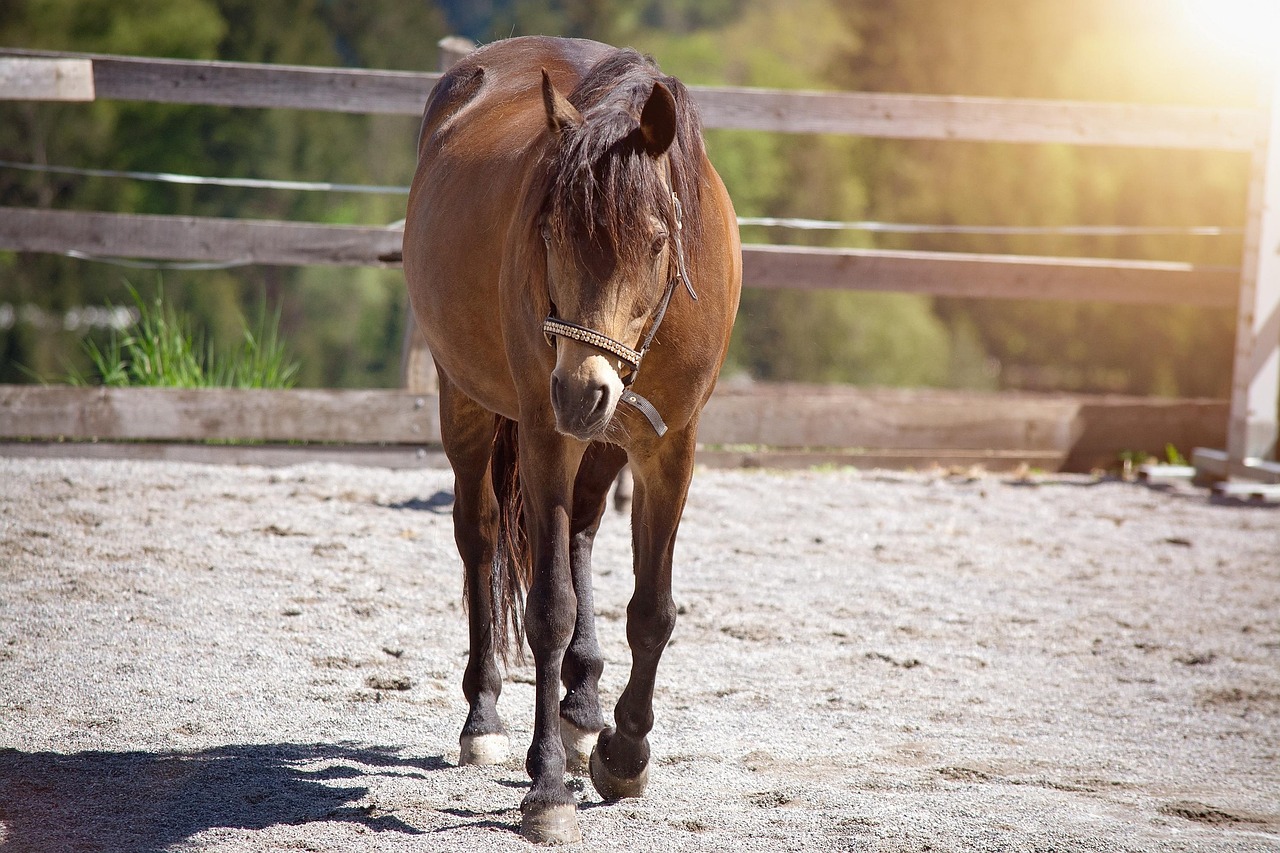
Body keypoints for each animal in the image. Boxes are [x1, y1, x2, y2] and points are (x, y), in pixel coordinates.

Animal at [402, 36, 741, 844]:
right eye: (551, 232)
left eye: (658, 242)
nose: (581, 389)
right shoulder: (547, 437)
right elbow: (548, 609)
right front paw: (549, 788)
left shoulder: (669, 448)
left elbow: (653, 610)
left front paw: (625, 752)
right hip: (467, 404)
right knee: (481, 537)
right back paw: (484, 717)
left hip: (608, 439)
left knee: (583, 530)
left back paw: (583, 707)